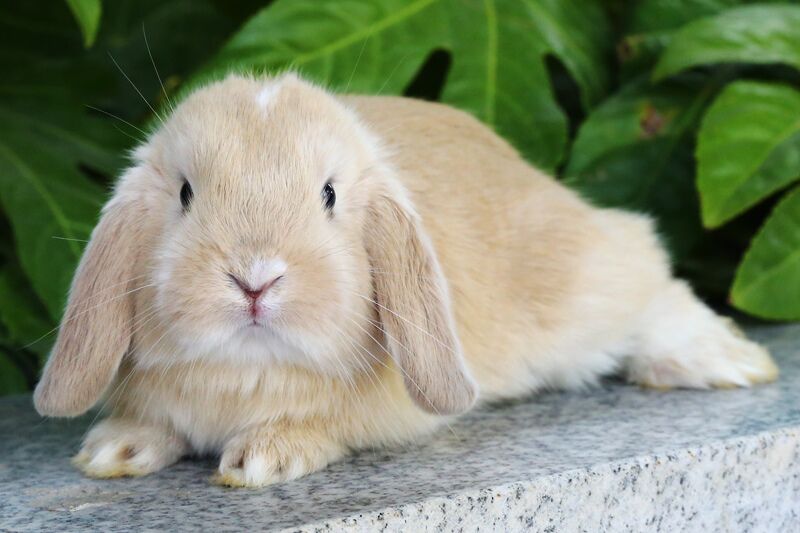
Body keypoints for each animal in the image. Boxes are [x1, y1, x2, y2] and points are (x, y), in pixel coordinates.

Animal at [33, 73, 778, 487]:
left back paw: (726, 361)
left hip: (581, 285)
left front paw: (265, 457)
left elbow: (323, 427)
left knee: (651, 281)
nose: (255, 278)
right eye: (186, 193)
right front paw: (115, 448)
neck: (243, 370)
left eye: (329, 195)